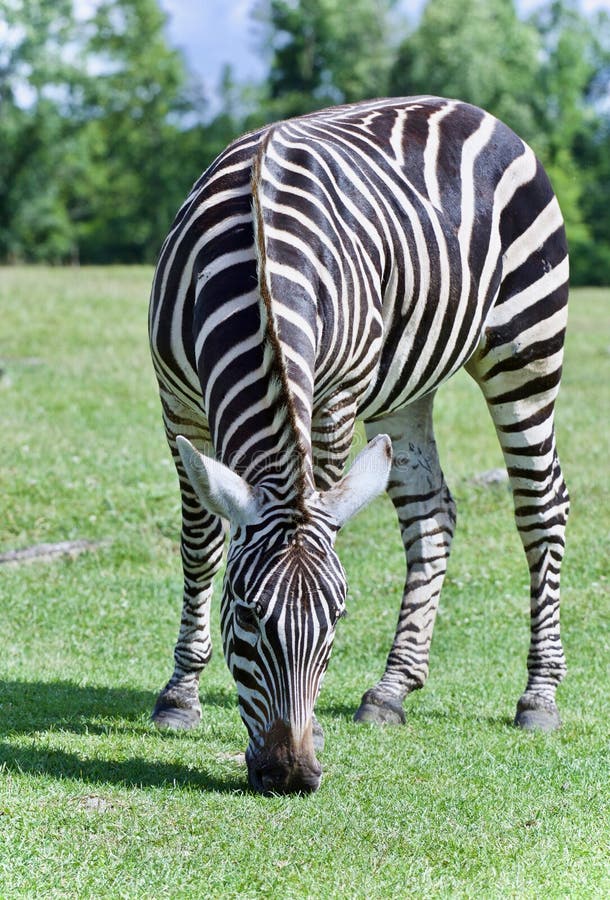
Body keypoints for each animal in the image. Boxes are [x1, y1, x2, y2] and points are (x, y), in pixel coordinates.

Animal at [148, 96, 570, 795]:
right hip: (406, 386)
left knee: (543, 505)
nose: (292, 774)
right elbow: (200, 547)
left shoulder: (337, 396)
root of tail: (470, 108)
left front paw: (312, 724)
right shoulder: (176, 403)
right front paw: (179, 695)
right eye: (246, 617)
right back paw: (391, 689)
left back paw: (539, 696)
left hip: (528, 349)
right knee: (432, 513)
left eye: (337, 622)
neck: (258, 259)